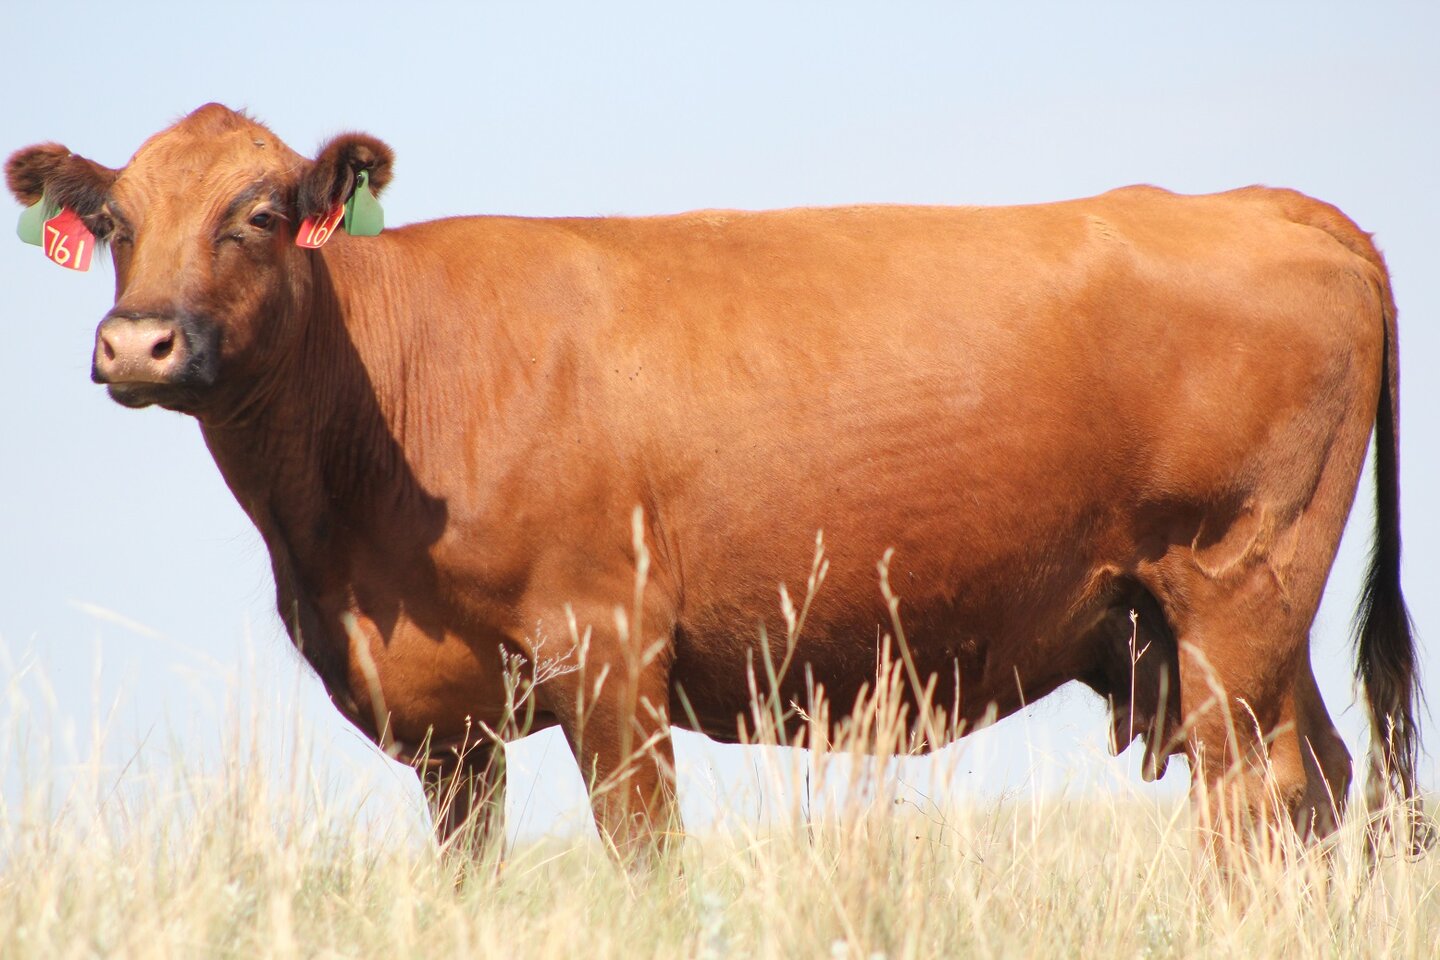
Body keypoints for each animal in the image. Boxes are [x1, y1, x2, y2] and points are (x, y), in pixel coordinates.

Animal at [6, 103, 1423, 858]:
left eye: (256, 213)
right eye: (117, 223)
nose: (138, 344)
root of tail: (1270, 204)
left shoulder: (609, 655)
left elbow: (646, 859)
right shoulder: (451, 730)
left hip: (1239, 589)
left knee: (1259, 799)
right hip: (1225, 622)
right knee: (1326, 782)